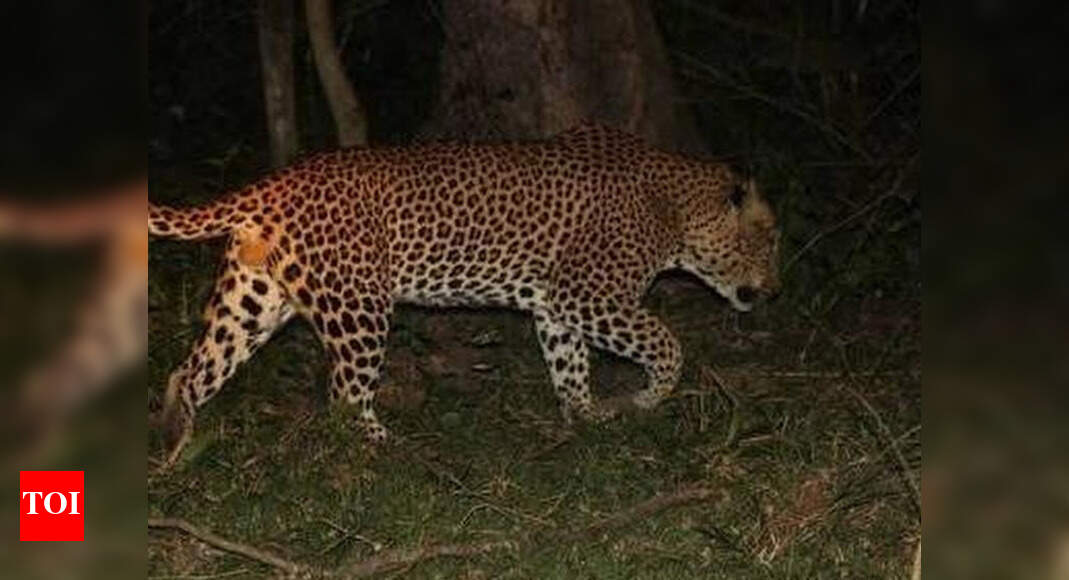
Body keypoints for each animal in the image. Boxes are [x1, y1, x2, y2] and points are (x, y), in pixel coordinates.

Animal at [149, 123, 780, 466]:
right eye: (769, 240)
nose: (775, 291)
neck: (677, 208)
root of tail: (271, 184)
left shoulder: (557, 306)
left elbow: (570, 364)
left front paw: (584, 415)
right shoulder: (590, 296)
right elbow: (667, 345)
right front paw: (646, 399)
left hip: (254, 300)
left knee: (192, 368)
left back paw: (175, 437)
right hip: (360, 309)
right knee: (344, 397)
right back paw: (385, 447)